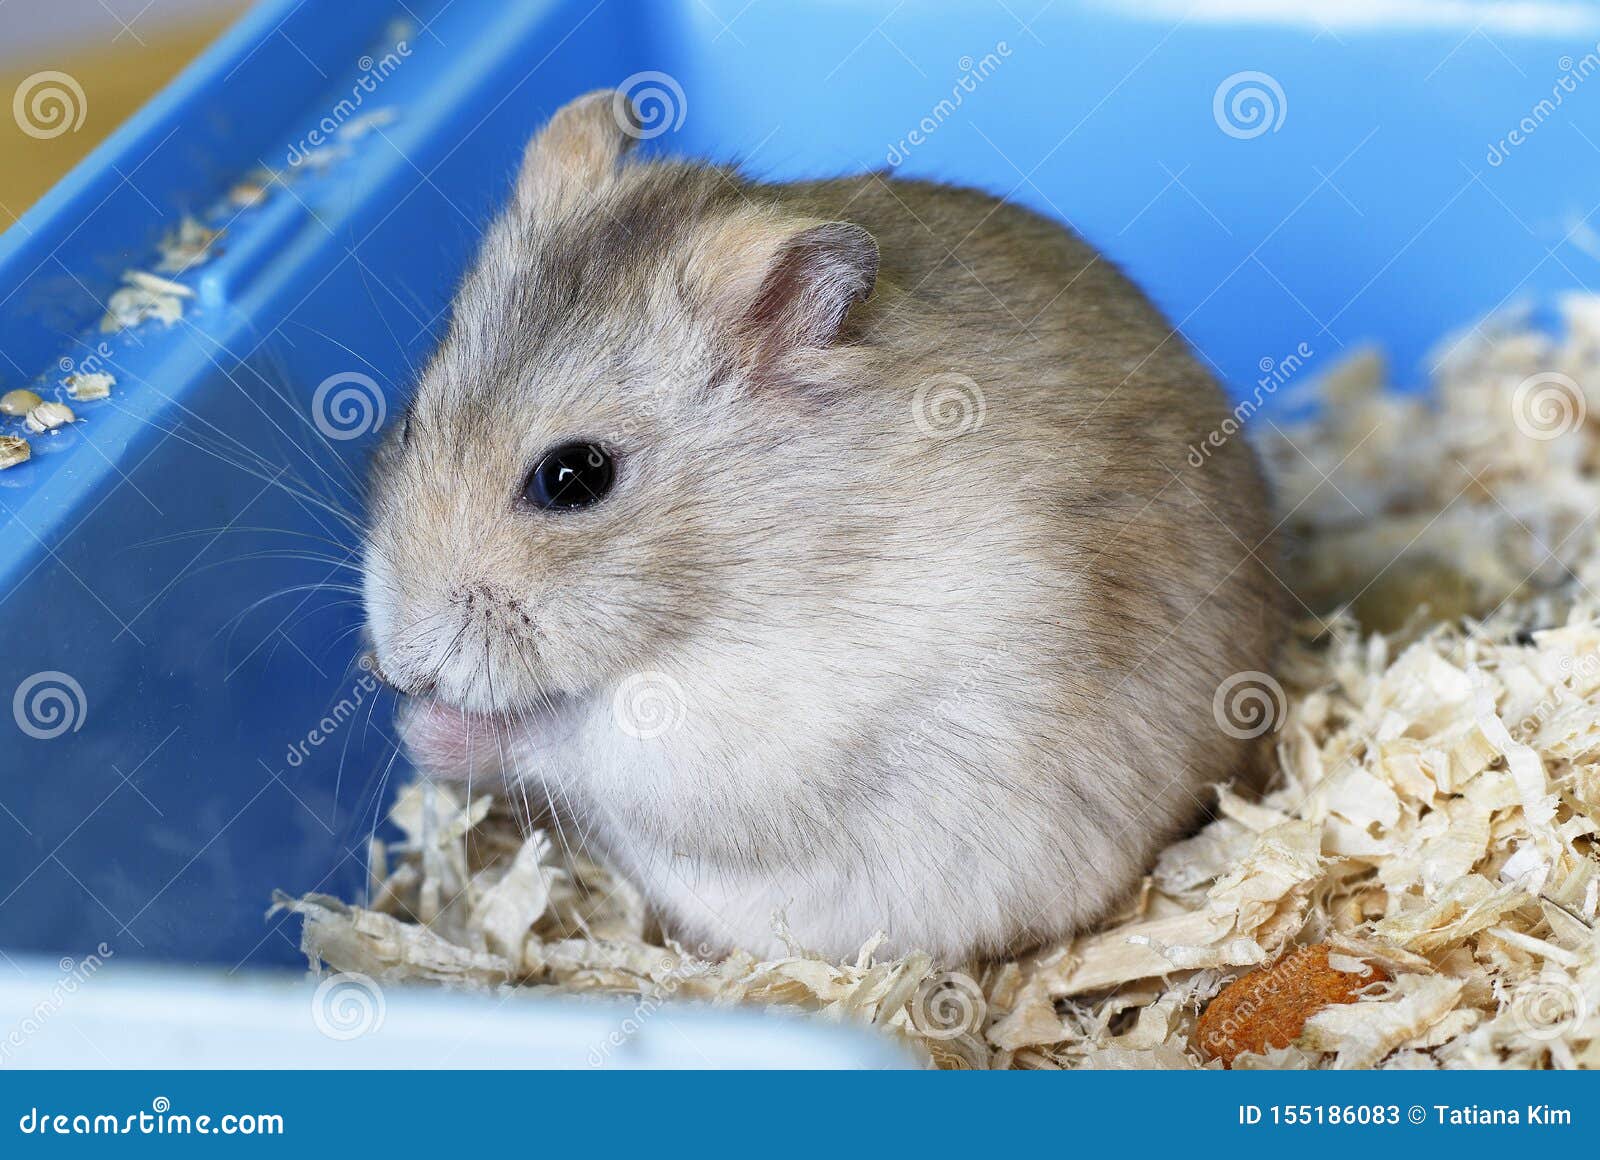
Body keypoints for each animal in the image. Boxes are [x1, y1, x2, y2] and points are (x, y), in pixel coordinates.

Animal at [362, 90, 1283, 964]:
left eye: (575, 477)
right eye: (409, 420)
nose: (401, 667)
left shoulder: (760, 730)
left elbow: (569, 739)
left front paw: (424, 729)